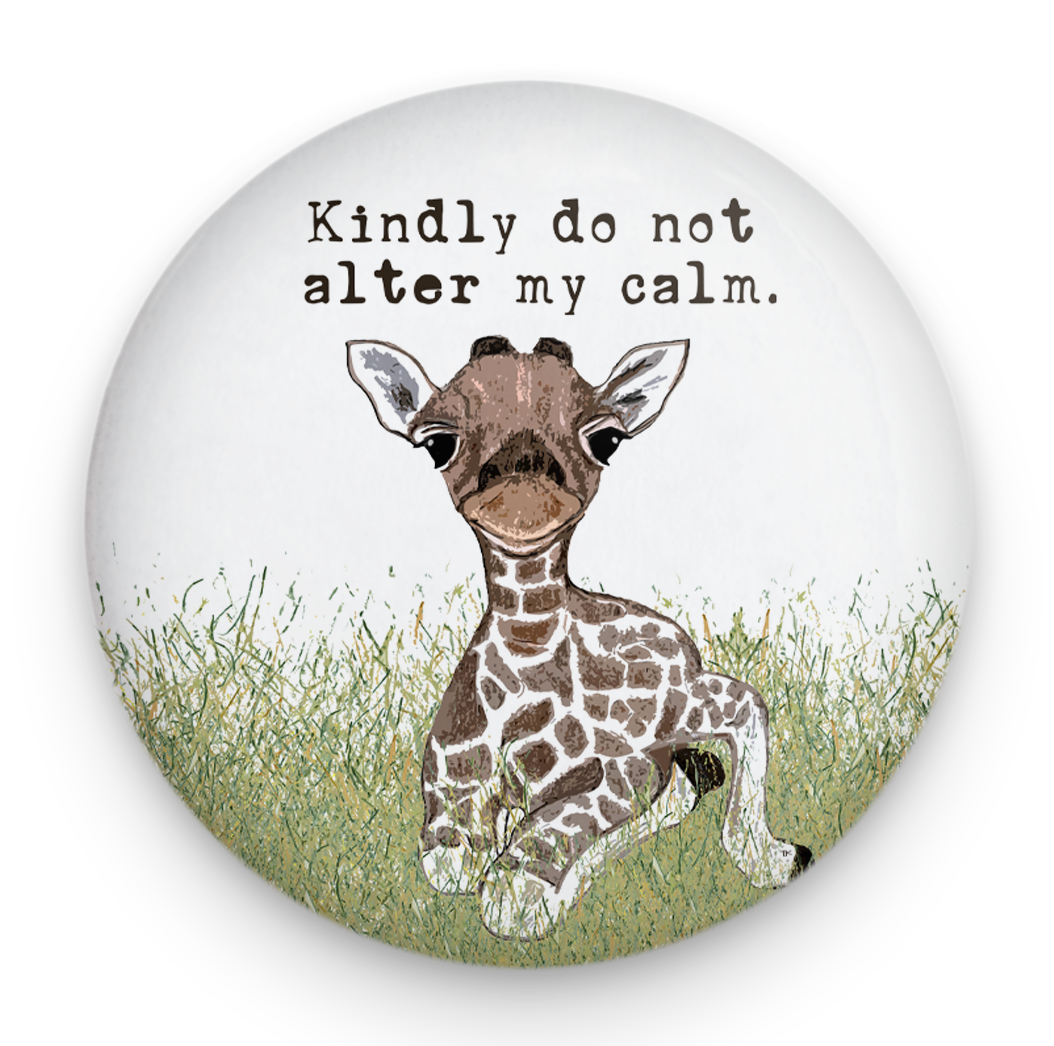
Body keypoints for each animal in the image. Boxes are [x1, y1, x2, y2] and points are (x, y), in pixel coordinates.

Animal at [347, 334, 812, 941]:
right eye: (437, 442)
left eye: (606, 438)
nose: (523, 500)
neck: (532, 652)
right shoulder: (453, 785)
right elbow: (451, 863)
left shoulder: (628, 765)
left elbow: (511, 890)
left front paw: (548, 888)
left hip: (684, 702)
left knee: (737, 716)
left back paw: (770, 859)